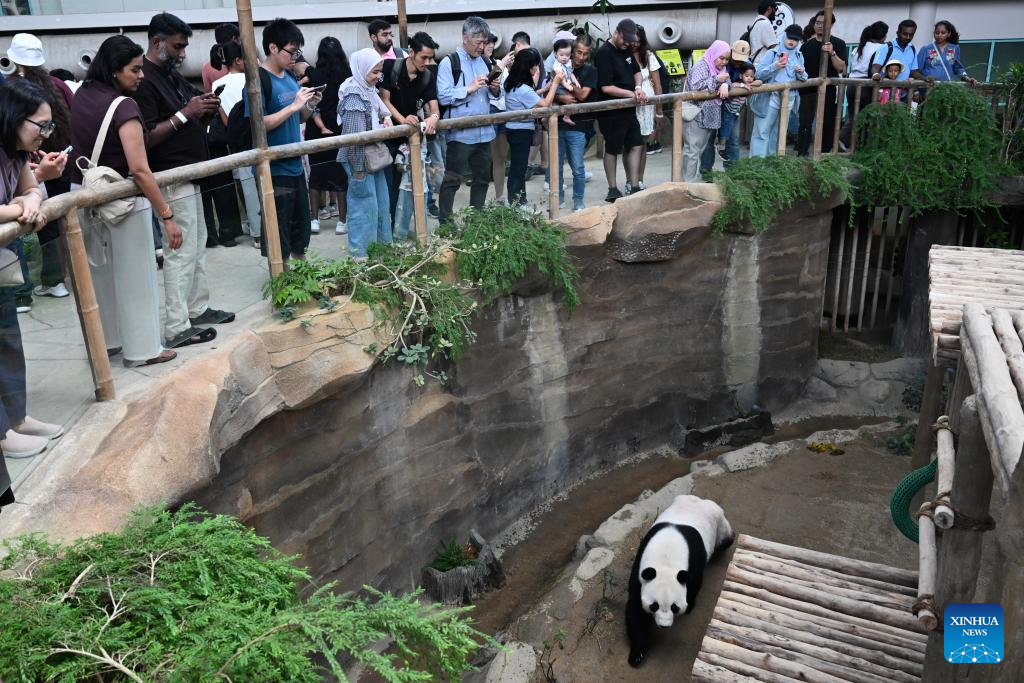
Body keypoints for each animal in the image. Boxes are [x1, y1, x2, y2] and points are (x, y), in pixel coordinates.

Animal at [626, 494, 734, 667]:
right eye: (654, 605)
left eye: (674, 607)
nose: (664, 626)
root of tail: (701, 500)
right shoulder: (640, 569)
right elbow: (635, 608)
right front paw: (637, 654)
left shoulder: (694, 561)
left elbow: (694, 584)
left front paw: (689, 607)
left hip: (719, 524)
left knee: (726, 540)